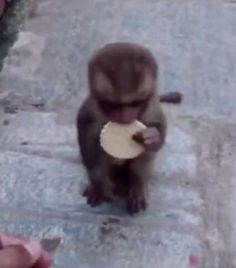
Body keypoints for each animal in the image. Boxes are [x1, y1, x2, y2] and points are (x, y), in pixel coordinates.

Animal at [76, 43, 182, 215]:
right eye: (113, 104)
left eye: (135, 103)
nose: (125, 119)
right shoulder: (89, 111)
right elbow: (88, 143)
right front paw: (100, 185)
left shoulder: (152, 107)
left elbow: (158, 131)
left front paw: (152, 136)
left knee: (145, 155)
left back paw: (137, 187)